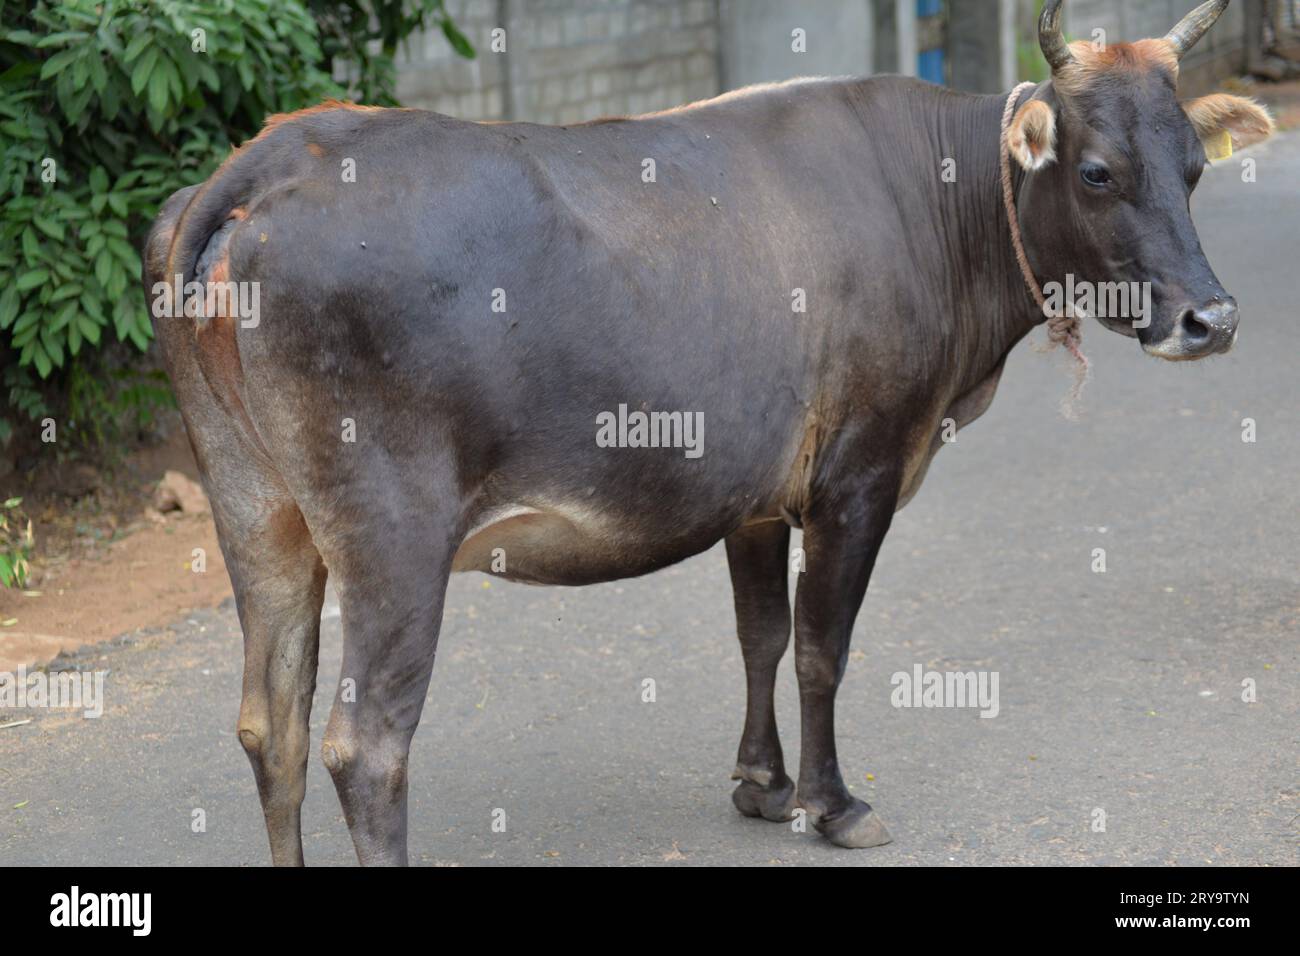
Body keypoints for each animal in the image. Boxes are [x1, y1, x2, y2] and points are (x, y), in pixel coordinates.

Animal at [146, 0, 1272, 864]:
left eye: (1193, 167)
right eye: (1096, 171)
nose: (1211, 319)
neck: (939, 197)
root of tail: (266, 161)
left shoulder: (756, 493)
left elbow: (760, 634)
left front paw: (761, 783)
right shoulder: (860, 472)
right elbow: (821, 645)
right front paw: (832, 802)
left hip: (259, 516)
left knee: (271, 724)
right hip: (393, 537)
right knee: (365, 745)